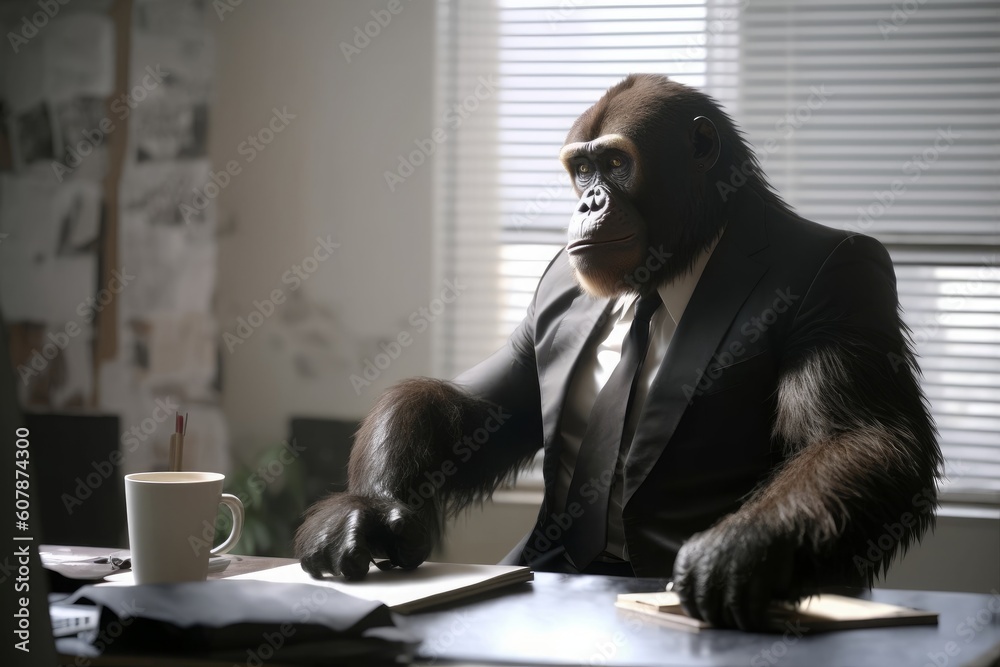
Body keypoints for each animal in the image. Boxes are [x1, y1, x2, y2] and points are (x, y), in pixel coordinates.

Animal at [295, 74, 942, 631]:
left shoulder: (844, 288)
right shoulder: (546, 307)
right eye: (582, 169)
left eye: (615, 164)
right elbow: (470, 408)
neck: (667, 274)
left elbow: (858, 434)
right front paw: (365, 516)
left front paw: (746, 548)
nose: (589, 202)